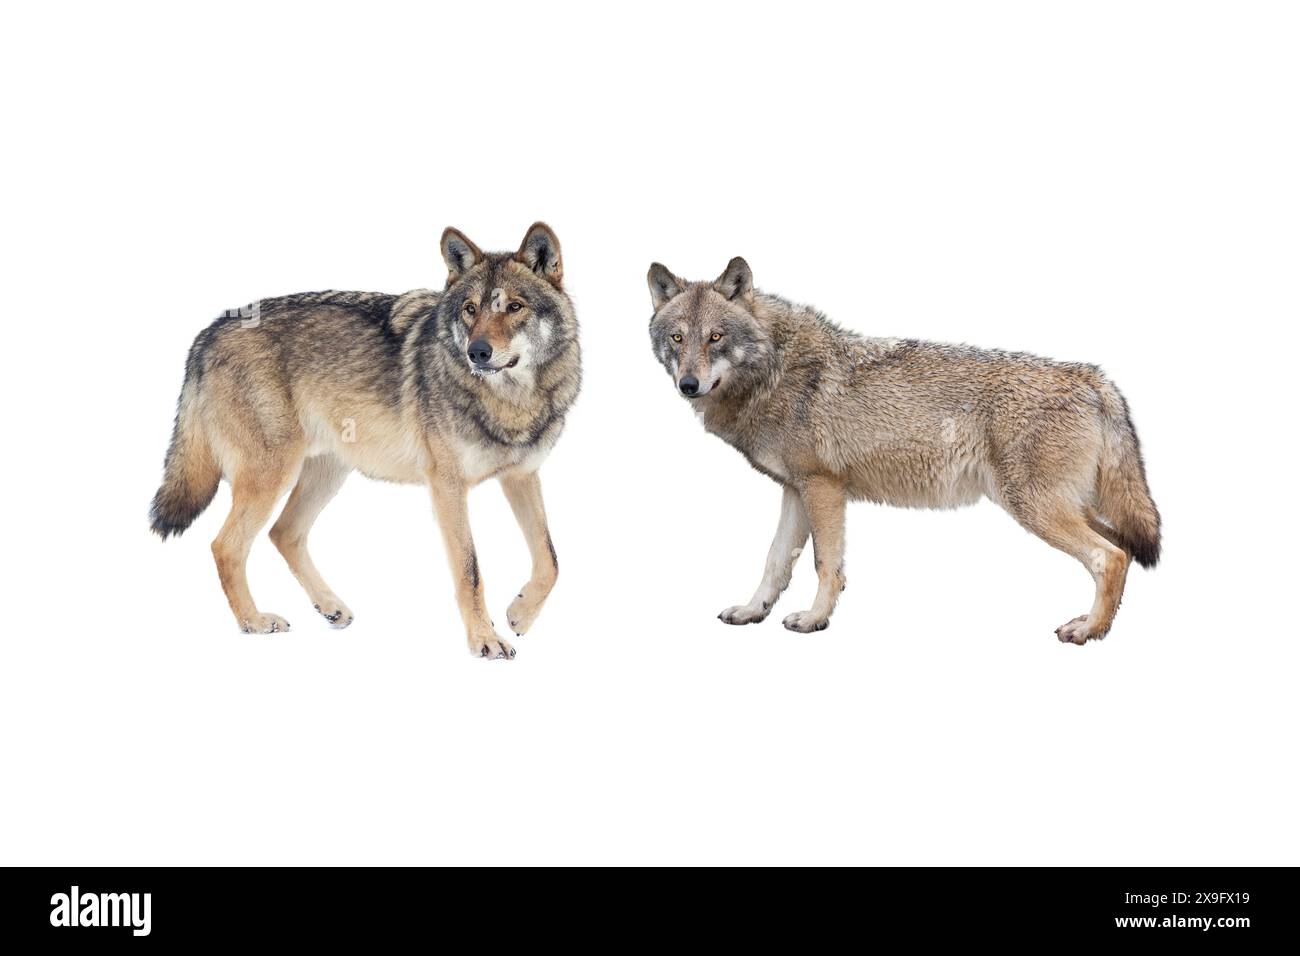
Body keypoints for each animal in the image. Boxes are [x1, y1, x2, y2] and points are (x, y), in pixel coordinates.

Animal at [150, 223, 580, 659]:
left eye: (515, 307)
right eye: (470, 309)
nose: (477, 352)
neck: (511, 402)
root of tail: (208, 332)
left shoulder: (522, 476)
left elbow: (551, 561)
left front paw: (519, 615)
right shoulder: (447, 486)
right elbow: (470, 570)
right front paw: (485, 640)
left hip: (326, 474)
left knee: (283, 533)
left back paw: (330, 606)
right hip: (272, 476)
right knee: (226, 546)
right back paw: (254, 621)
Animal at [646, 257, 1160, 644]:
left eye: (715, 337)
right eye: (678, 338)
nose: (688, 385)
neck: (772, 370)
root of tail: (1094, 379)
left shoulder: (823, 488)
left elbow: (825, 565)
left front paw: (814, 620)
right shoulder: (795, 490)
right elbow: (775, 561)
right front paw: (753, 611)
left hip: (1036, 509)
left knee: (1110, 557)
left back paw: (1089, 631)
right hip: (1064, 507)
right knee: (1123, 550)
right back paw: (1095, 625)